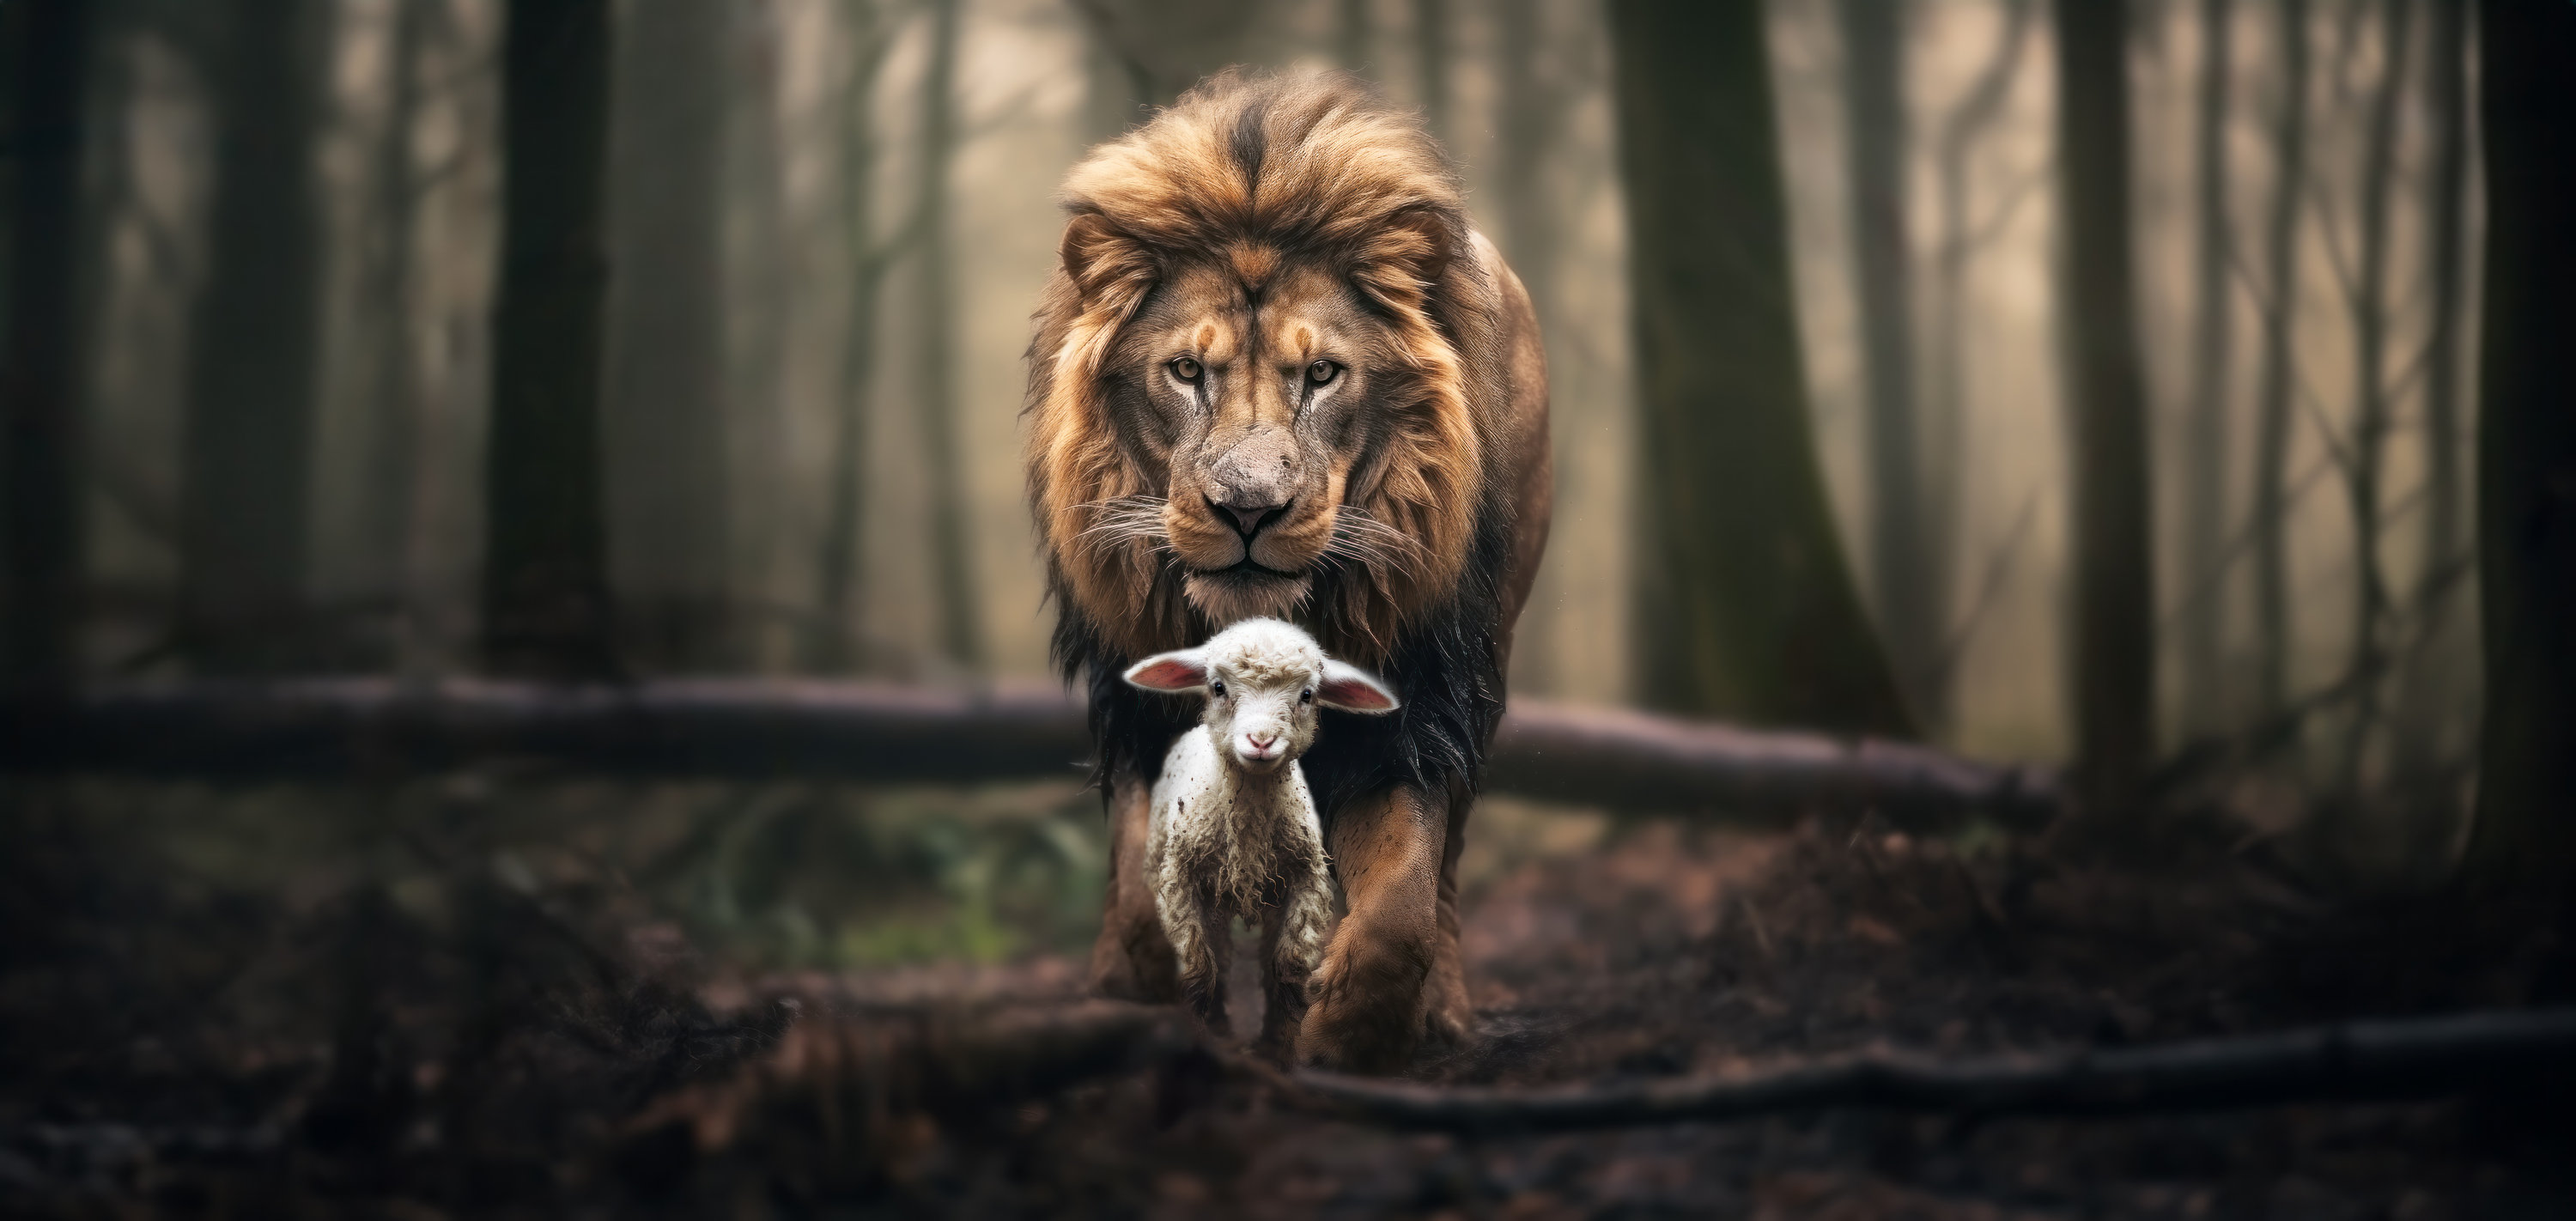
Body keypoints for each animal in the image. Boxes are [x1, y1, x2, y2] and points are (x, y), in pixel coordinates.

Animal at [1122, 617, 1400, 1058]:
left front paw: (1281, 1048)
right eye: (1218, 687)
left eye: (1307, 694)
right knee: (1218, 955)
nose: (1261, 741)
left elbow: (1286, 968)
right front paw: (1200, 1040)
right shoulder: (1179, 881)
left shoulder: (1306, 880)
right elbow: (1199, 969)